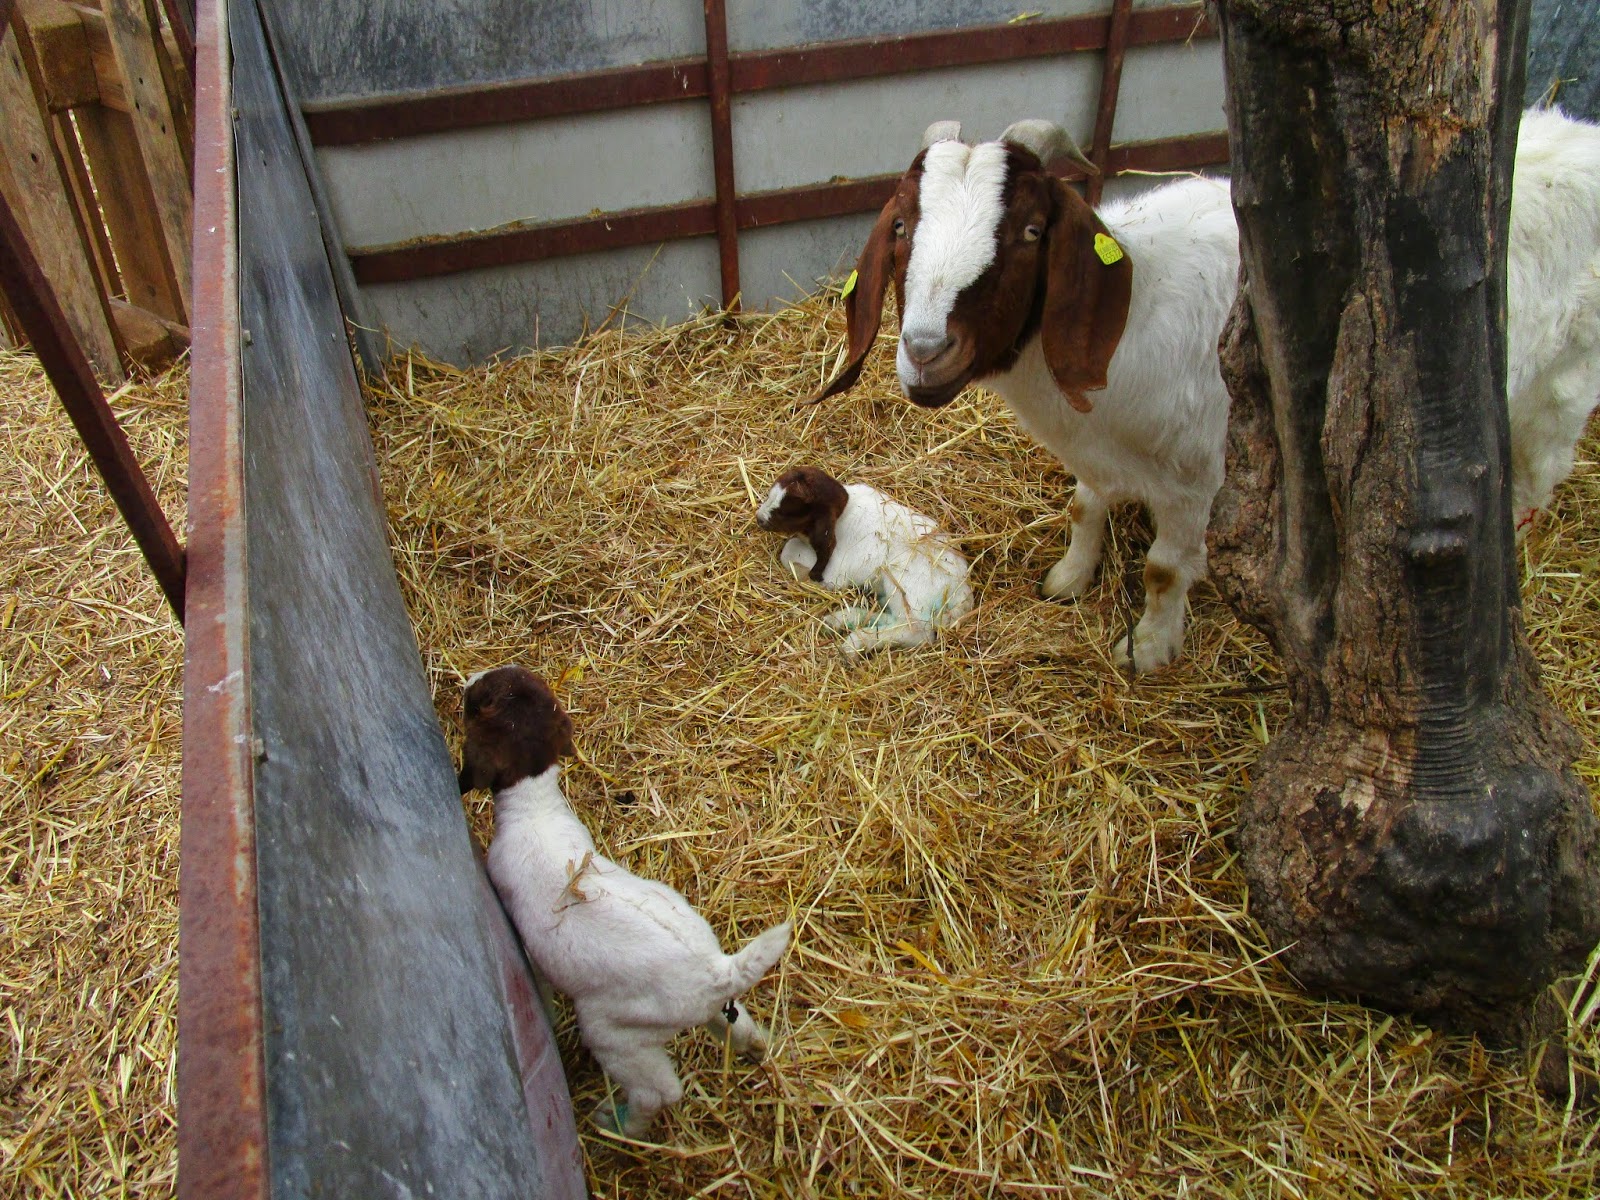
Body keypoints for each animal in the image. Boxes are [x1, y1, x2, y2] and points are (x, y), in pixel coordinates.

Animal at [460, 665, 791, 1138]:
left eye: (480, 700)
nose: (470, 678)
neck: (534, 807)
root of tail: (715, 972)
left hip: (616, 1033)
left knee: (658, 1092)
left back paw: (619, 1125)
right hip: (708, 1007)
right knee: (737, 1026)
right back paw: (756, 1048)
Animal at [755, 465, 974, 656]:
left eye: (786, 511)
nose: (759, 518)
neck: (845, 511)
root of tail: (962, 587)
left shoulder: (835, 568)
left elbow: (789, 551)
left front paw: (806, 578)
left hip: (906, 584)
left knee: (916, 631)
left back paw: (854, 644)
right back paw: (841, 620)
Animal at [813, 109, 1600, 671]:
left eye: (1032, 230)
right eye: (903, 226)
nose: (925, 352)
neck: (1132, 318)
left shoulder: (1203, 477)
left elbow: (1165, 570)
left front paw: (1149, 650)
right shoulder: (1096, 448)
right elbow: (1082, 507)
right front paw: (1068, 578)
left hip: (1565, 382)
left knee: (1539, 469)